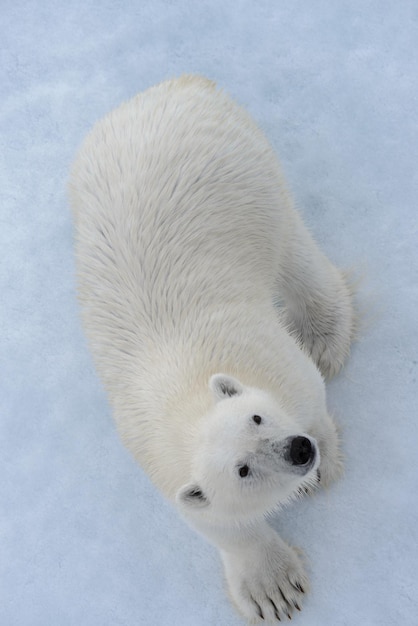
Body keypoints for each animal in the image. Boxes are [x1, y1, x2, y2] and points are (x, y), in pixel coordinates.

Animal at [70, 75, 354, 620]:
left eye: (256, 417)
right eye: (243, 470)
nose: (298, 452)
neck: (185, 397)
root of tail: (172, 86)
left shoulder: (273, 361)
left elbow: (313, 398)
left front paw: (323, 463)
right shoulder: (163, 465)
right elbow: (219, 523)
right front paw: (273, 589)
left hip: (249, 176)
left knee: (294, 250)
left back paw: (323, 335)